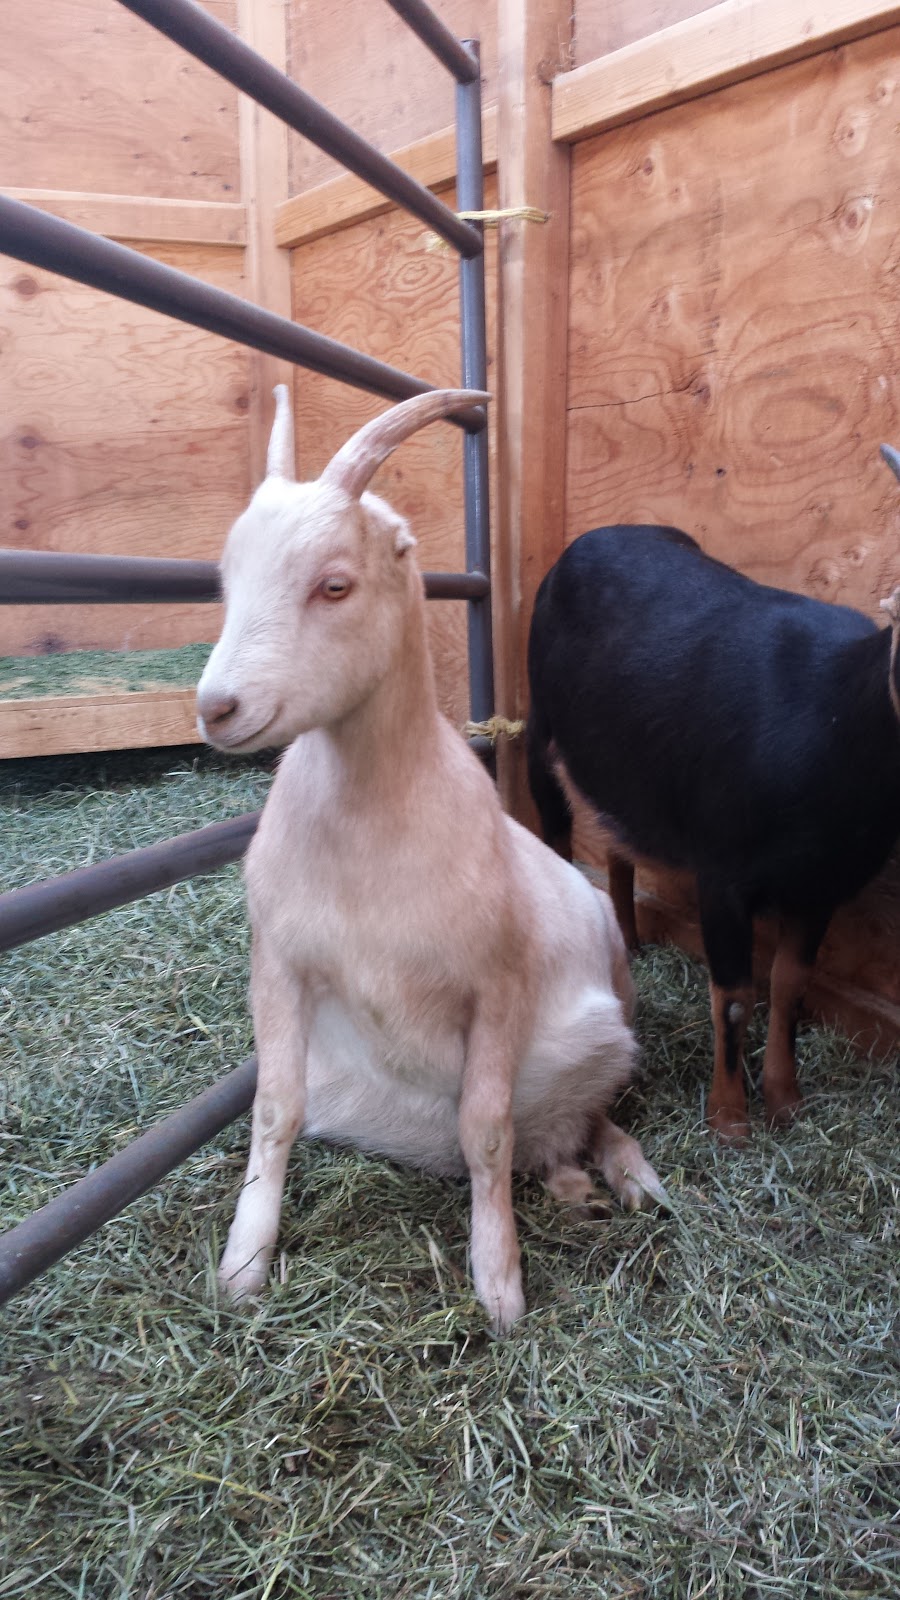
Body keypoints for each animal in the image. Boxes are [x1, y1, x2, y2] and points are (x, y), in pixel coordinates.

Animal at [196, 386, 666, 1332]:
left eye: (335, 583)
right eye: (228, 578)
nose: (216, 706)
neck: (369, 832)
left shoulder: (496, 985)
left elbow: (484, 1130)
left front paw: (500, 1287)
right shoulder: (280, 964)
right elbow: (274, 1111)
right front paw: (243, 1267)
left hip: (611, 1011)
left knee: (594, 1105)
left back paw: (626, 1176)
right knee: (546, 1139)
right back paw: (569, 1184)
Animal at [526, 460, 900, 1144]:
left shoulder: (820, 887)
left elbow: (789, 984)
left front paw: (785, 1100)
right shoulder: (723, 874)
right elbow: (733, 994)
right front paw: (728, 1118)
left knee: (618, 842)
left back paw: (630, 940)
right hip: (544, 731)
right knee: (559, 833)